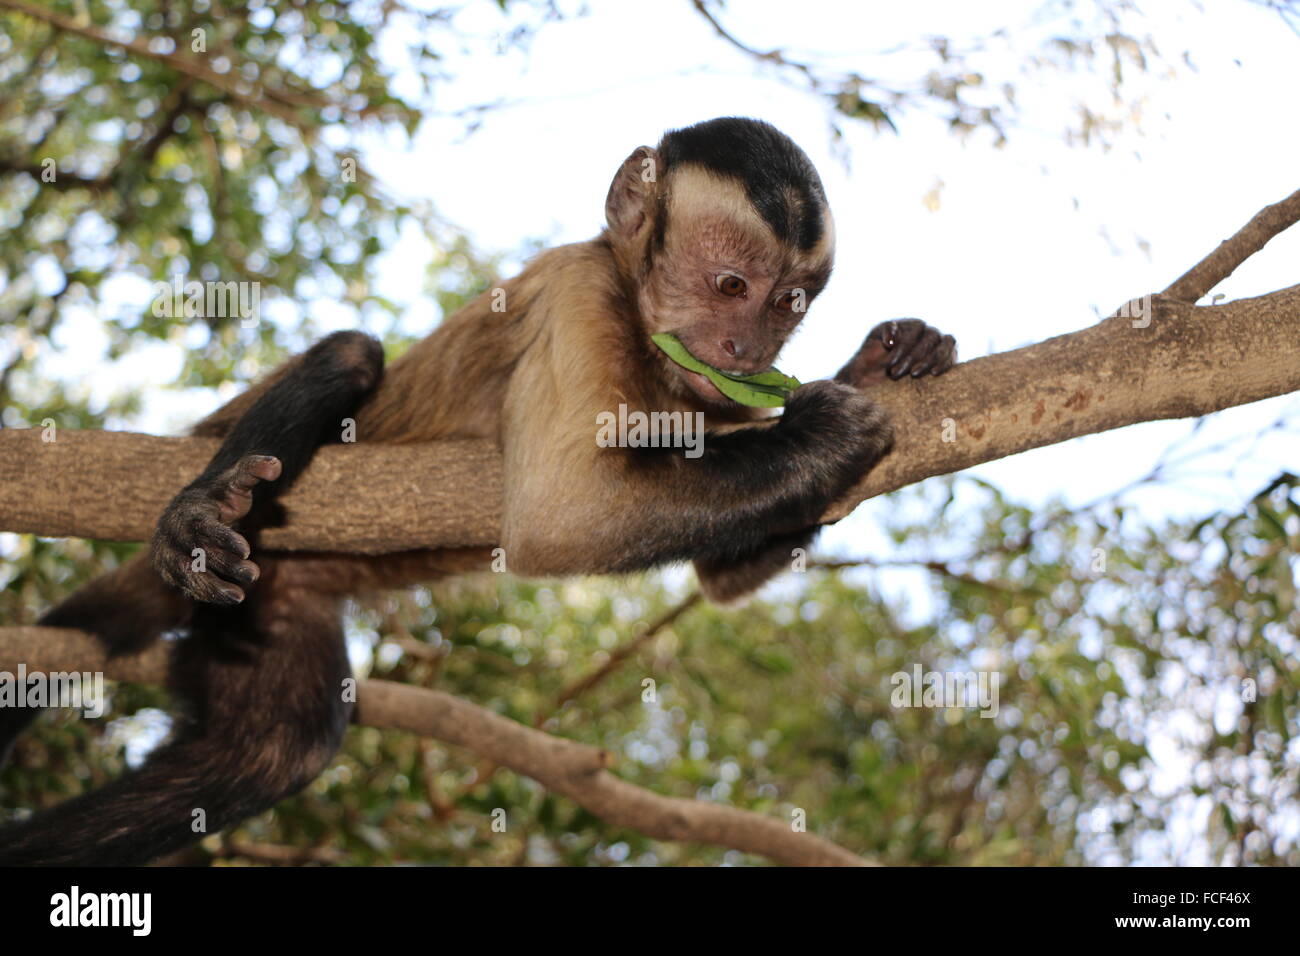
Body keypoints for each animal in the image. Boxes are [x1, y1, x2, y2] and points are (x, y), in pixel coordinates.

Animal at [0, 117, 956, 865]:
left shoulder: (715, 398)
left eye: (789, 303)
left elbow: (721, 579)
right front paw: (822, 437)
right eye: (731, 286)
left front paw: (889, 364)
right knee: (353, 356)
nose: (747, 348)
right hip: (218, 455)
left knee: (278, 749)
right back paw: (203, 509)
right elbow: (561, 518)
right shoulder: (582, 297)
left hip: (270, 605)